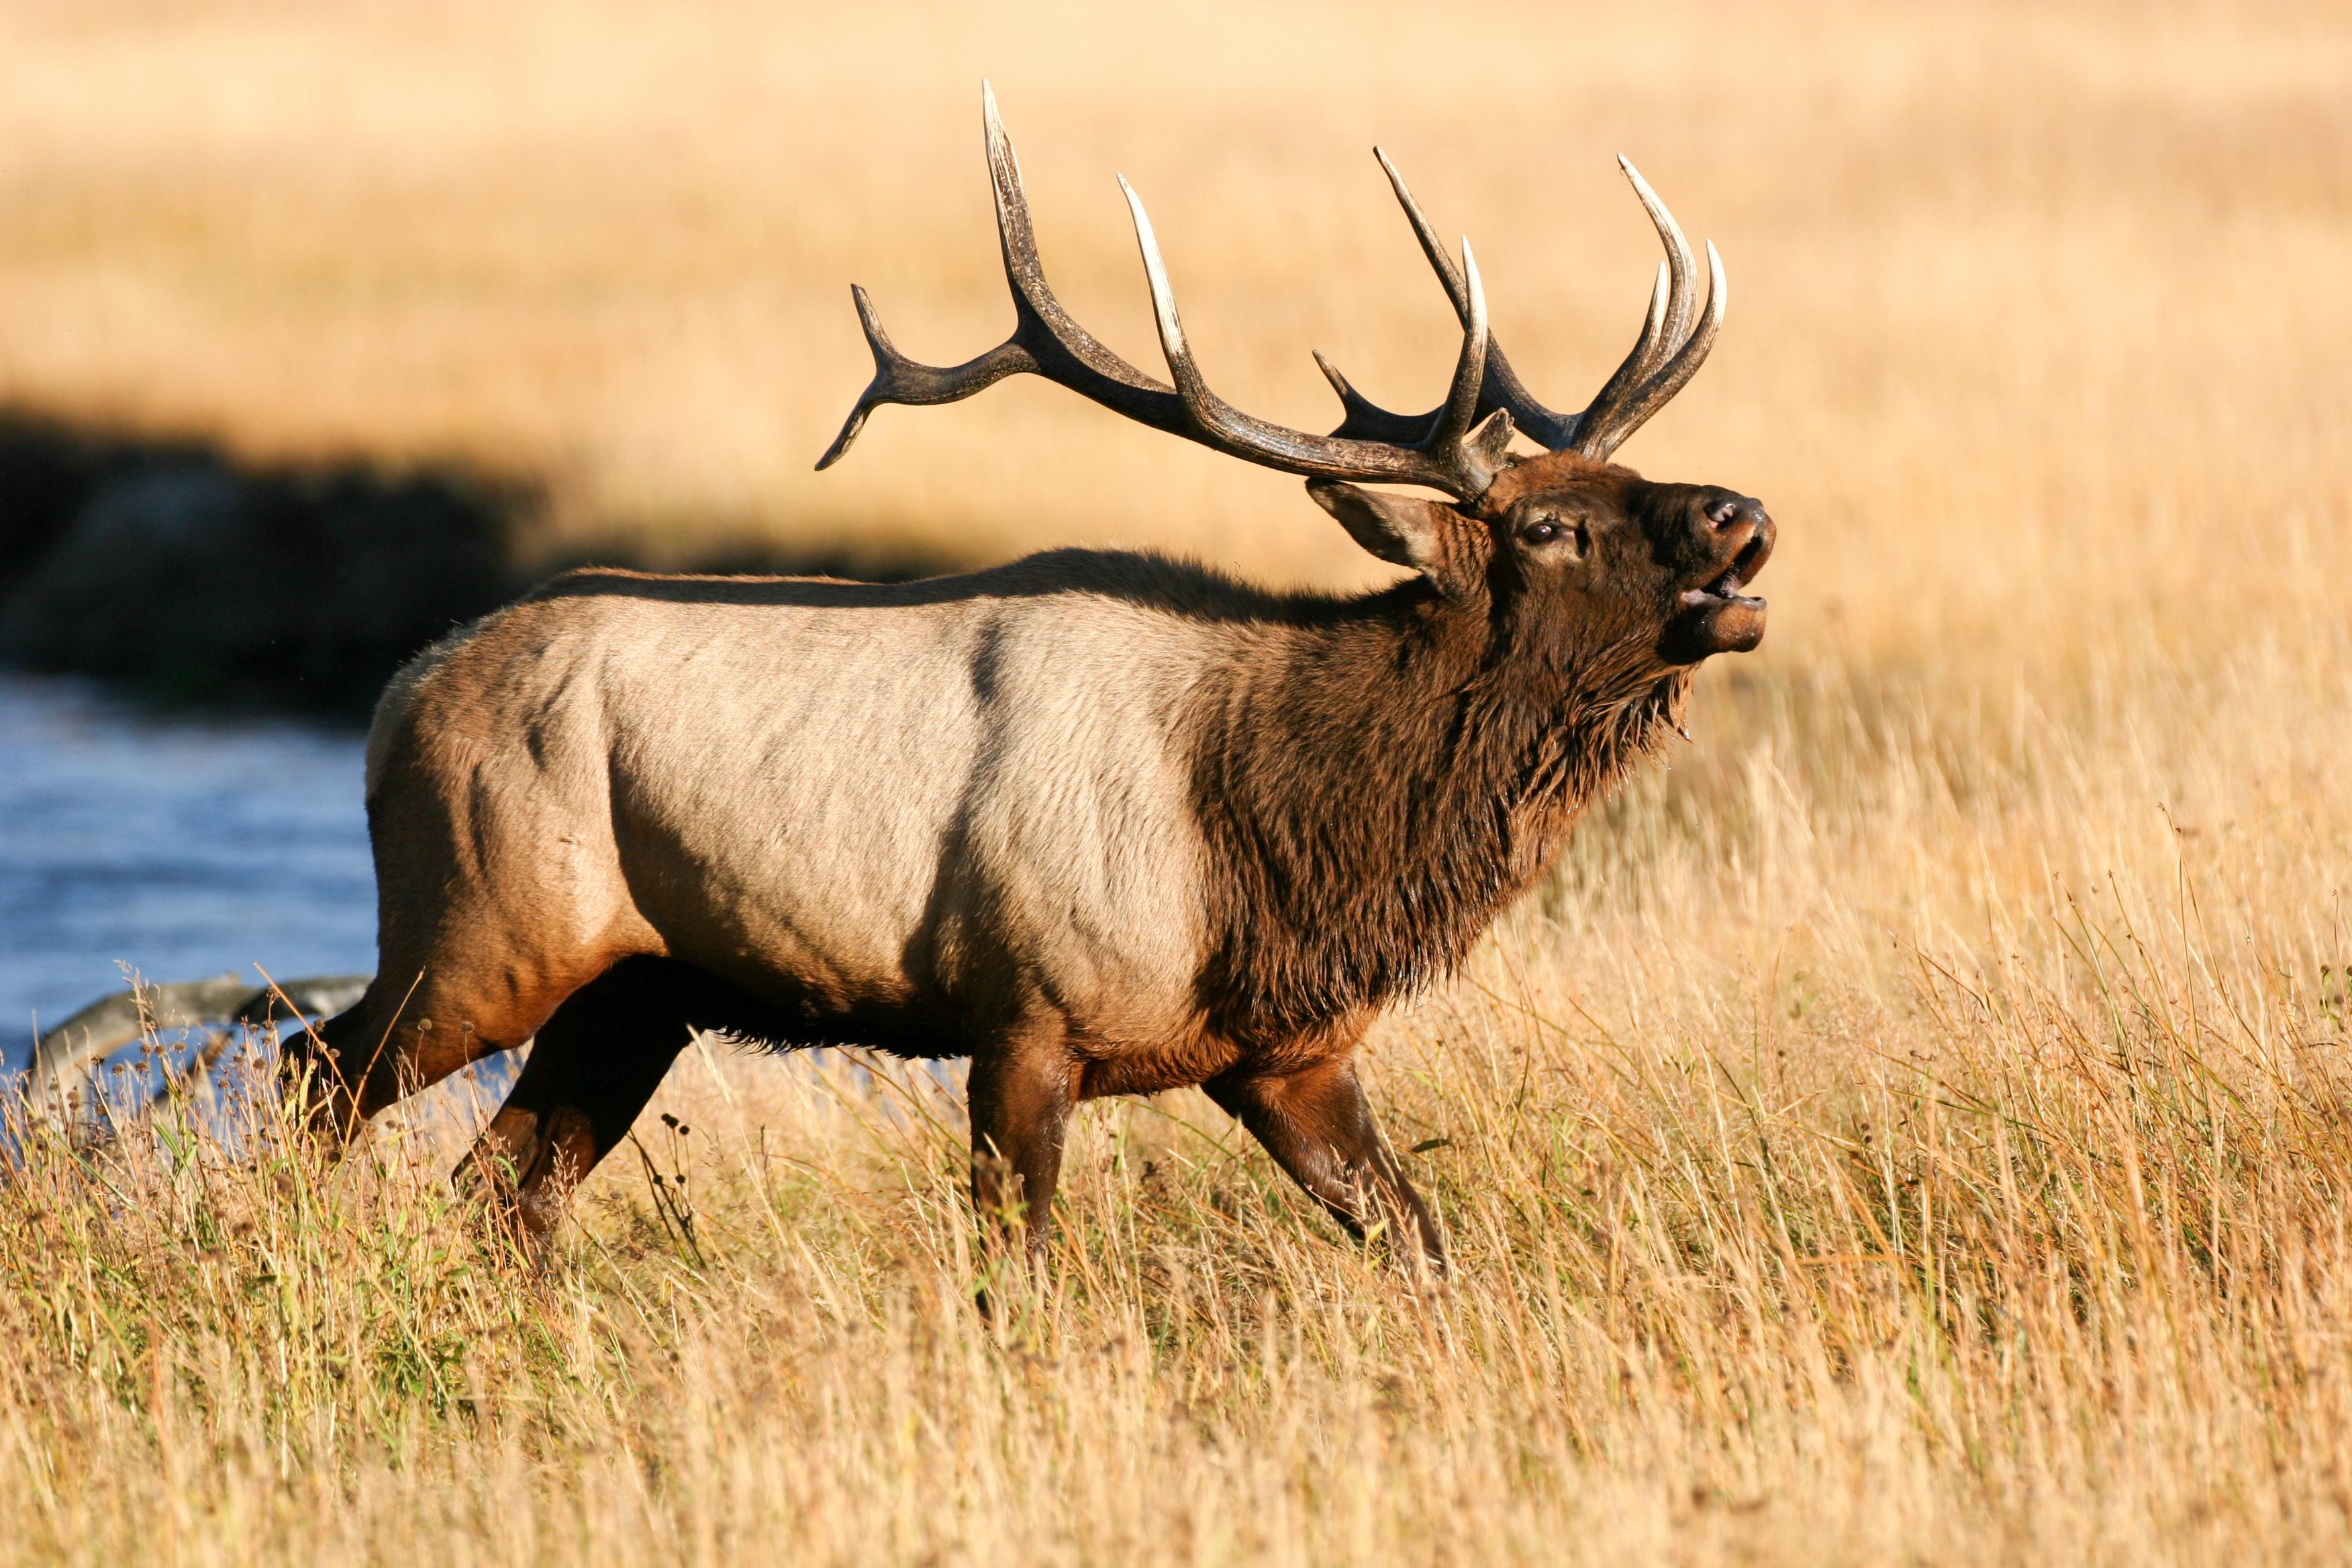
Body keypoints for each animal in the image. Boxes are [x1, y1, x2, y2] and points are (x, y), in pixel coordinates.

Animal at [282, 87, 1772, 1278]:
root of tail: (398, 694)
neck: (1273, 849)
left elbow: (1421, 1237)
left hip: (633, 991)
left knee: (504, 1189)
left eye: (1634, 476)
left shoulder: (1284, 1053)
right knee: (310, 1075)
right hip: (478, 931)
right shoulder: (1024, 1016)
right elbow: (1025, 1271)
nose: (1740, 512)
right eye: (1547, 527)